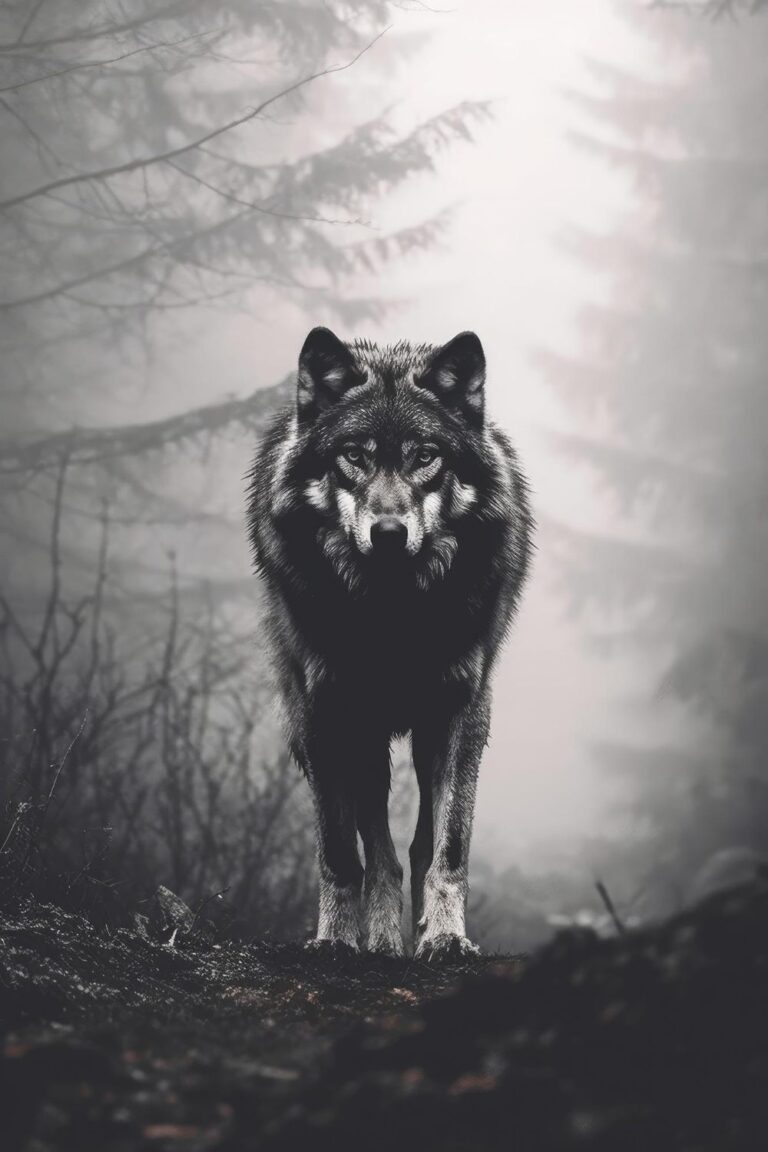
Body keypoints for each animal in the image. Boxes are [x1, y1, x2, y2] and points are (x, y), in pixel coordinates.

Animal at [247, 327, 531, 959]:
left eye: (425, 457)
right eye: (355, 455)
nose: (389, 533)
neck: (392, 617)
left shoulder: (461, 709)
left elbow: (449, 846)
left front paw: (446, 936)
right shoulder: (324, 710)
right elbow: (338, 851)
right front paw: (336, 939)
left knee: (418, 844)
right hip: (346, 735)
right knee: (376, 844)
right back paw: (378, 939)